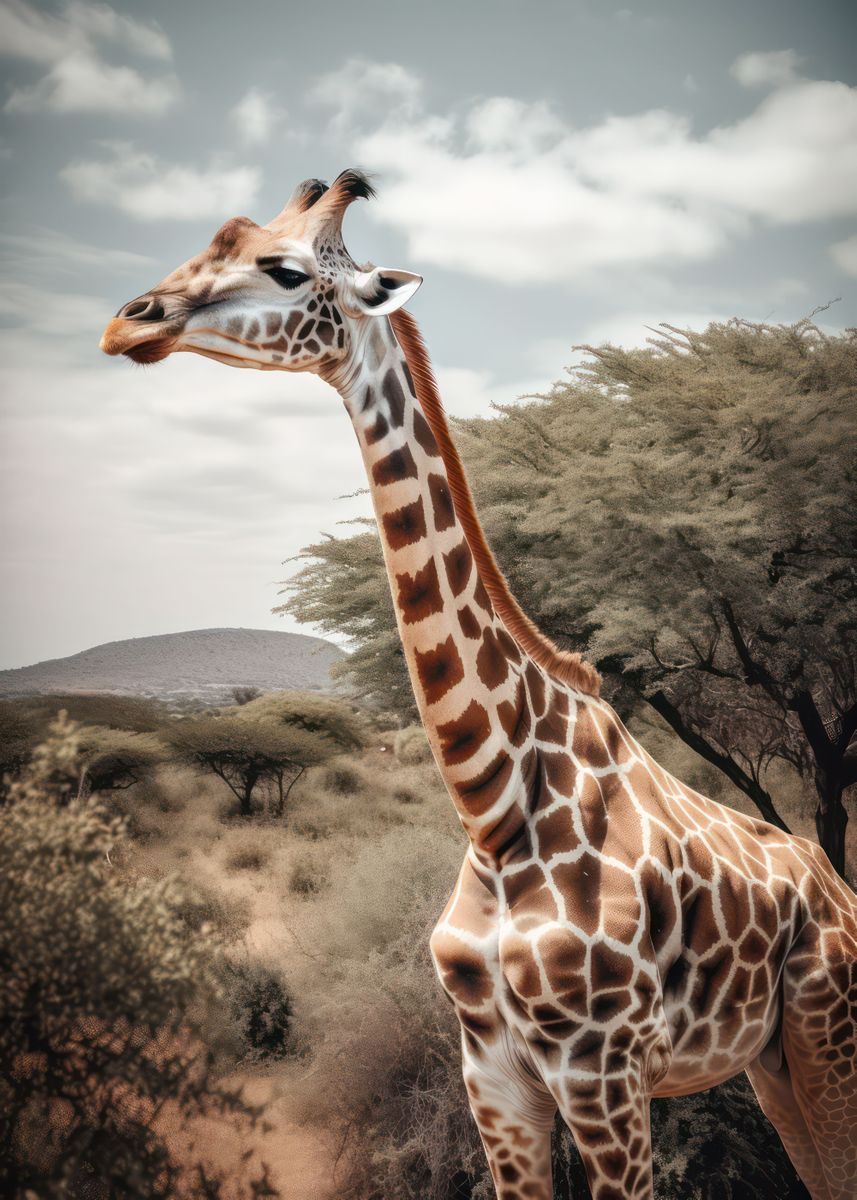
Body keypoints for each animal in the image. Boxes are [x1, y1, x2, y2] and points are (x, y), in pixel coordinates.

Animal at [101, 170, 857, 1200]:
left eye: (286, 268)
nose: (127, 323)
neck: (490, 809)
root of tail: (839, 888)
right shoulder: (489, 1074)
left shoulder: (603, 1073)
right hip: (771, 1061)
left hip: (827, 1033)